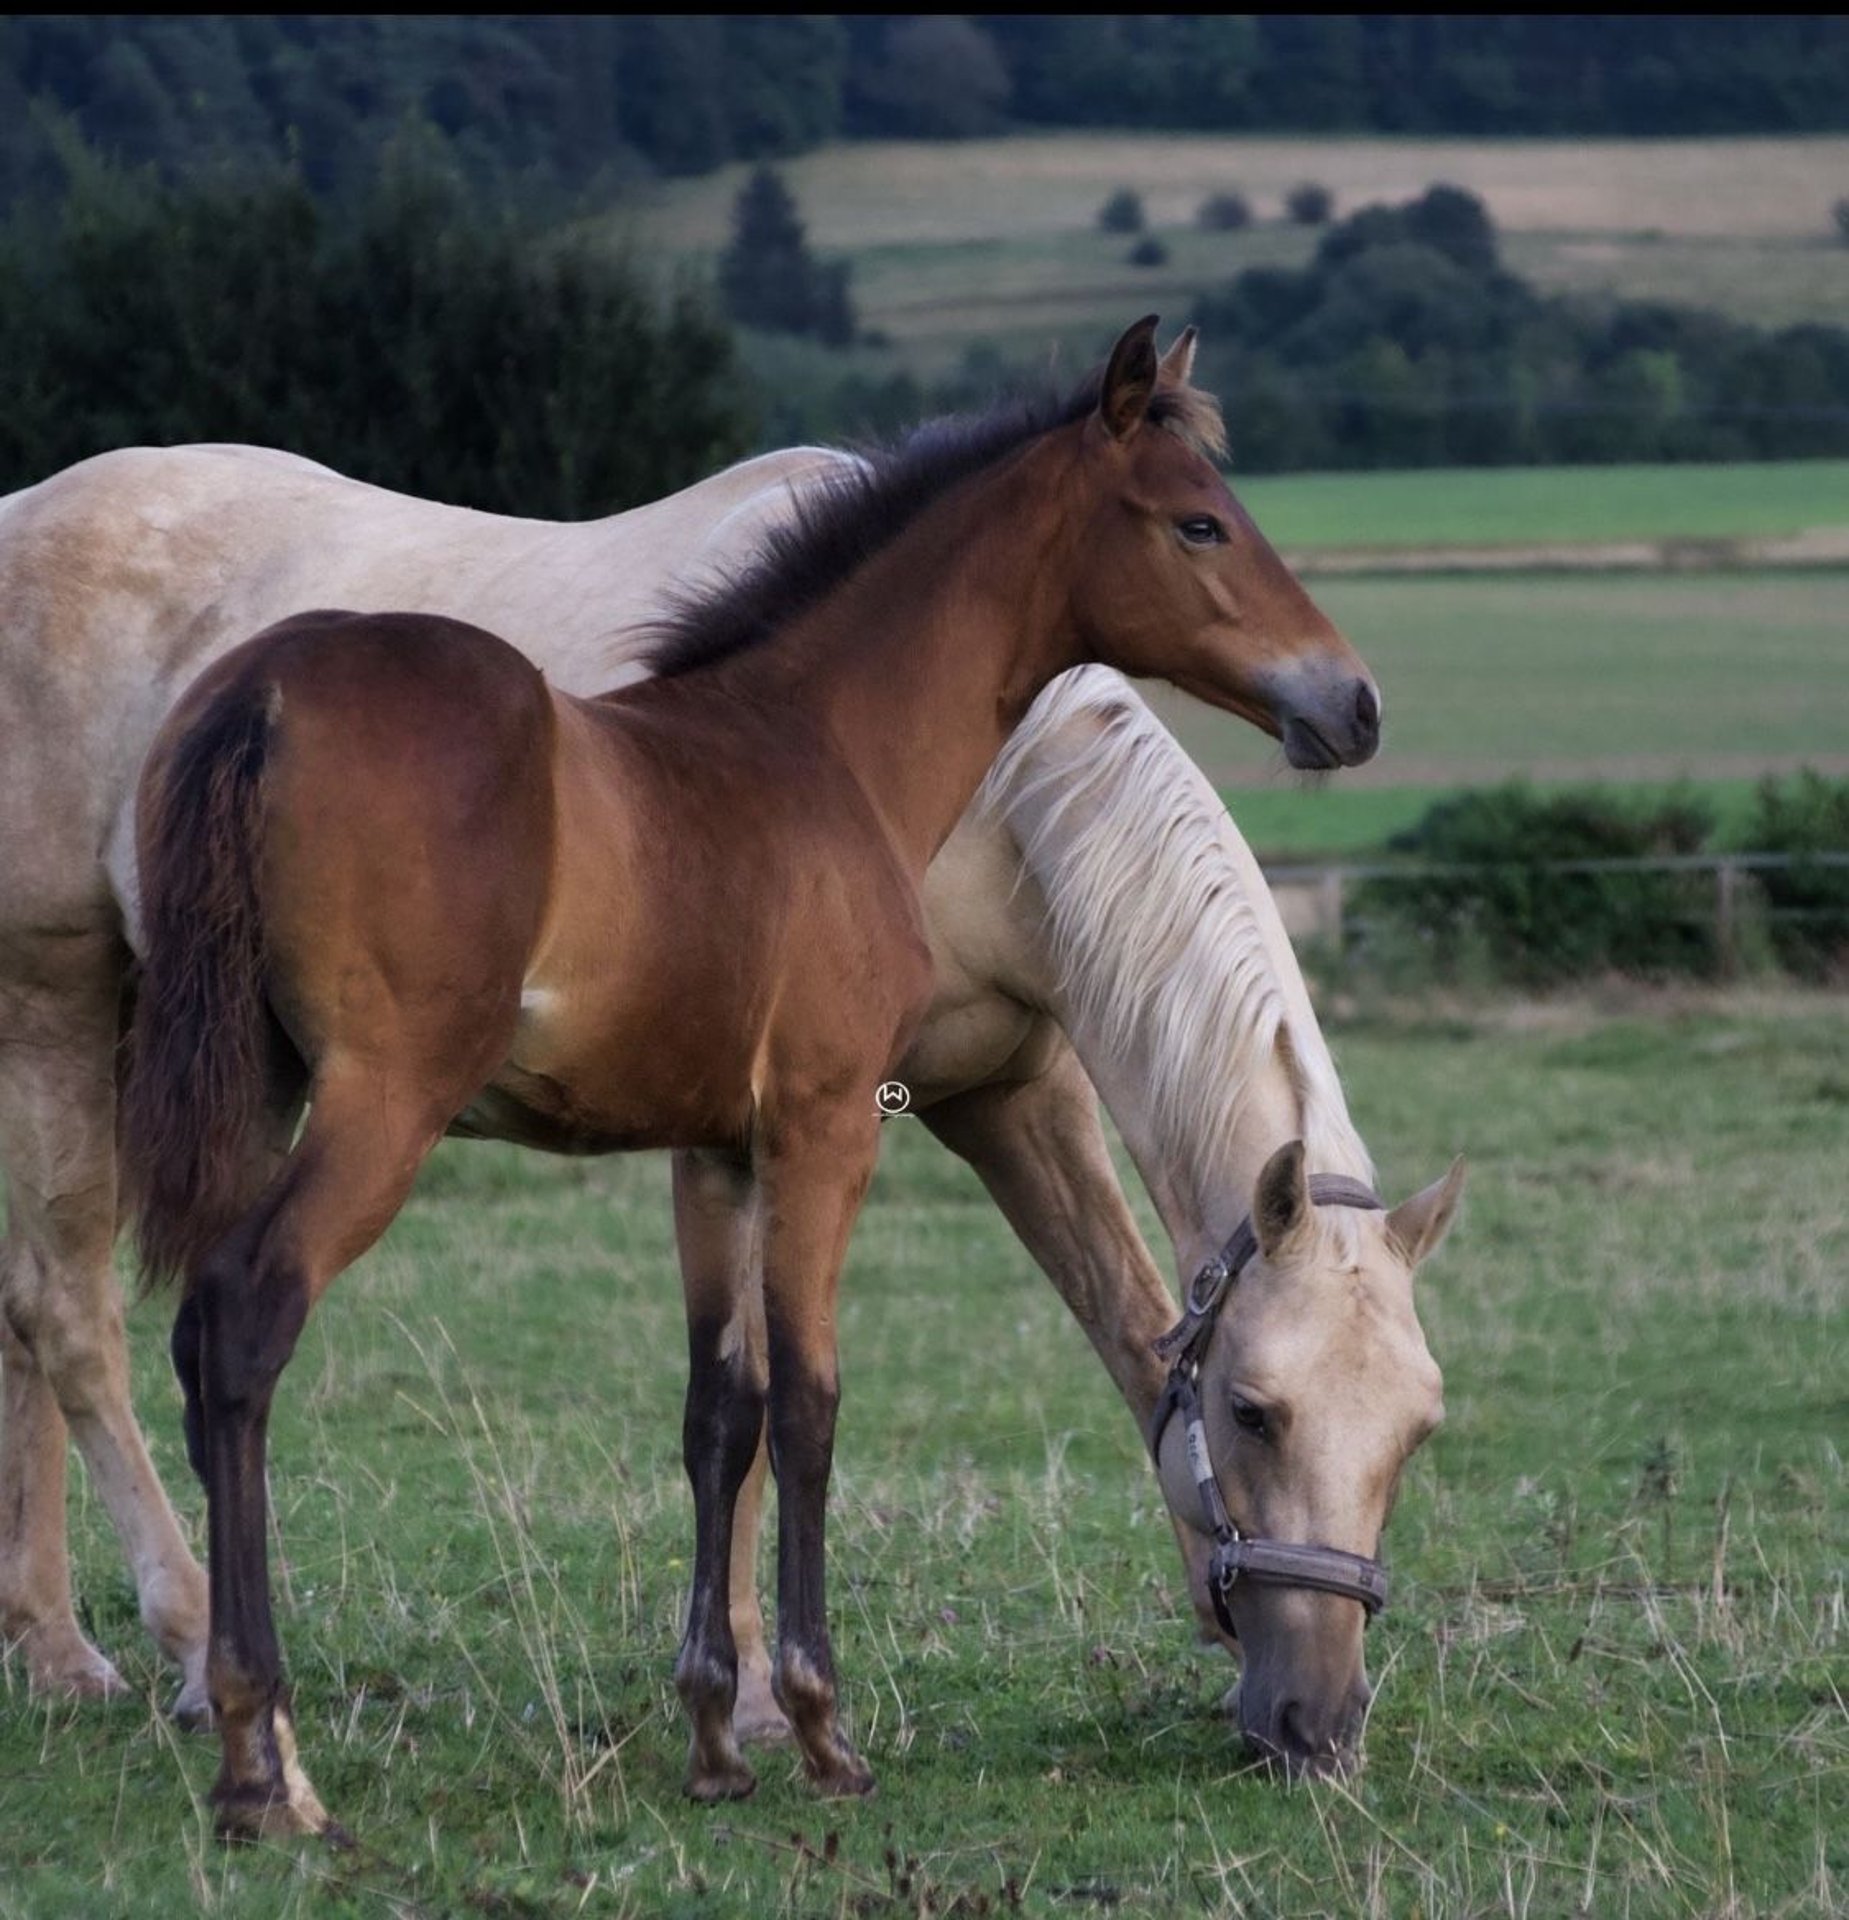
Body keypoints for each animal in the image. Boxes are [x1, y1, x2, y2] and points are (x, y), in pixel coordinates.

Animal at [0, 325, 1379, 1734]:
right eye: (1200, 521)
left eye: (1414, 1427)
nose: (1355, 702)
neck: (825, 739)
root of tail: (261, 702)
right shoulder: (812, 1119)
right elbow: (789, 1400)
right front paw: (772, 1697)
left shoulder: (986, 1089)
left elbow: (1089, 1329)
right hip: (109, 1014)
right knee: (106, 1313)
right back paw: (193, 1656)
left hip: (204, 1059)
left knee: (47, 1308)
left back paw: (55, 1645)